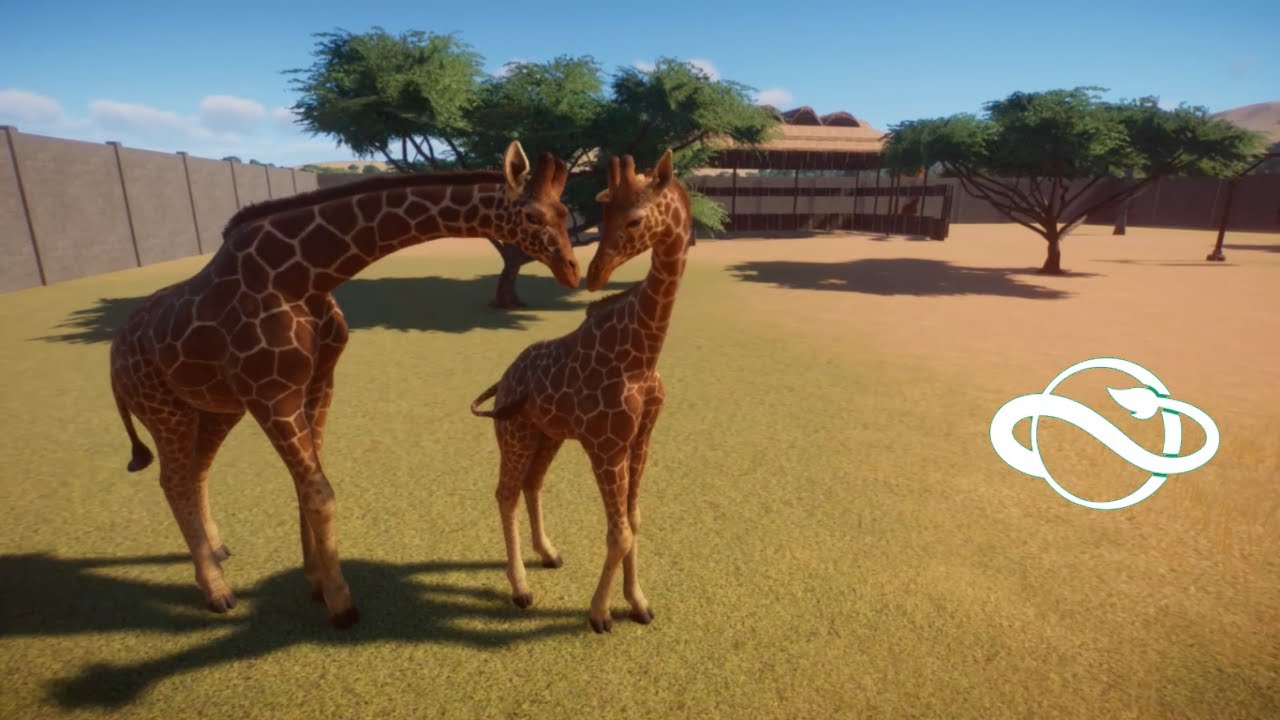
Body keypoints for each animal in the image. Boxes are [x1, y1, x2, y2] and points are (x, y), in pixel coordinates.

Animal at [110, 141, 579, 628]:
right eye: (532, 217)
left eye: (566, 212)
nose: (572, 270)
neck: (305, 277)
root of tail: (113, 356)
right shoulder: (271, 393)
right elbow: (319, 492)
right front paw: (341, 602)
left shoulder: (319, 381)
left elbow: (306, 486)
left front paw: (316, 581)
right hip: (163, 408)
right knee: (173, 480)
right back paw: (216, 591)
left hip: (215, 409)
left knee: (196, 471)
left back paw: (218, 551)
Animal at [469, 149, 691, 633]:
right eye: (604, 213)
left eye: (635, 219)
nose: (594, 273)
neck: (642, 356)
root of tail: (504, 377)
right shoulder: (605, 445)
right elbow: (619, 532)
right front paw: (600, 613)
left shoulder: (640, 440)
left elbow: (633, 521)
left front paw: (638, 603)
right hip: (513, 432)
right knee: (505, 493)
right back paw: (520, 588)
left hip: (546, 435)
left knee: (532, 484)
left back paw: (549, 553)